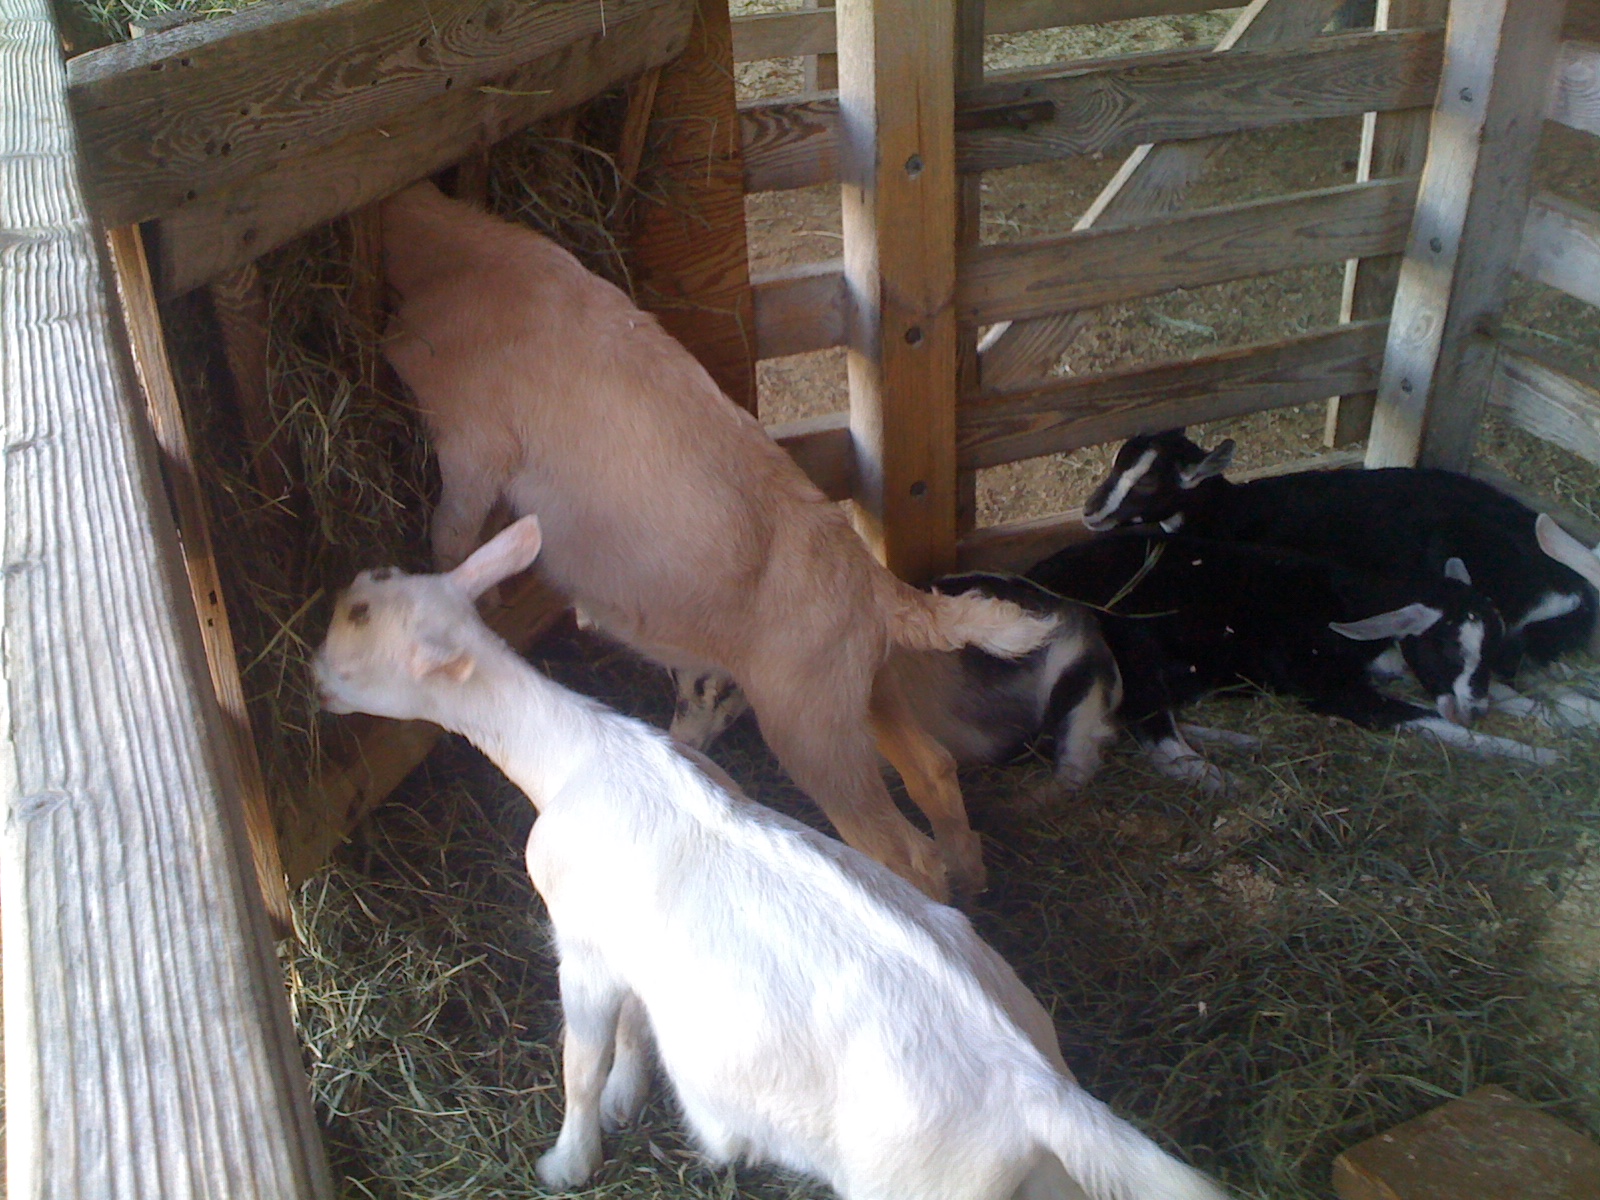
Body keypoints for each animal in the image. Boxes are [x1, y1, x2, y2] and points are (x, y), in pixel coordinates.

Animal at [379, 180, 1060, 900]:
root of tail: (881, 591)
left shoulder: (472, 441)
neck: (460, 256)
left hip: (811, 729)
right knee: (933, 769)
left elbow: (452, 528)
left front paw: (452, 585)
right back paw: (973, 878)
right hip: (863, 689)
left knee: (904, 855)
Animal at [1027, 531, 1554, 769]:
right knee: (1153, 731)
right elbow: (1423, 718)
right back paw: (1215, 777)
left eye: (1491, 648)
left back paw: (1243, 741)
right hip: (1131, 648)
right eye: (1446, 647)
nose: (1477, 709)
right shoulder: (1331, 689)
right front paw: (1534, 753)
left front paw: (1544, 712)